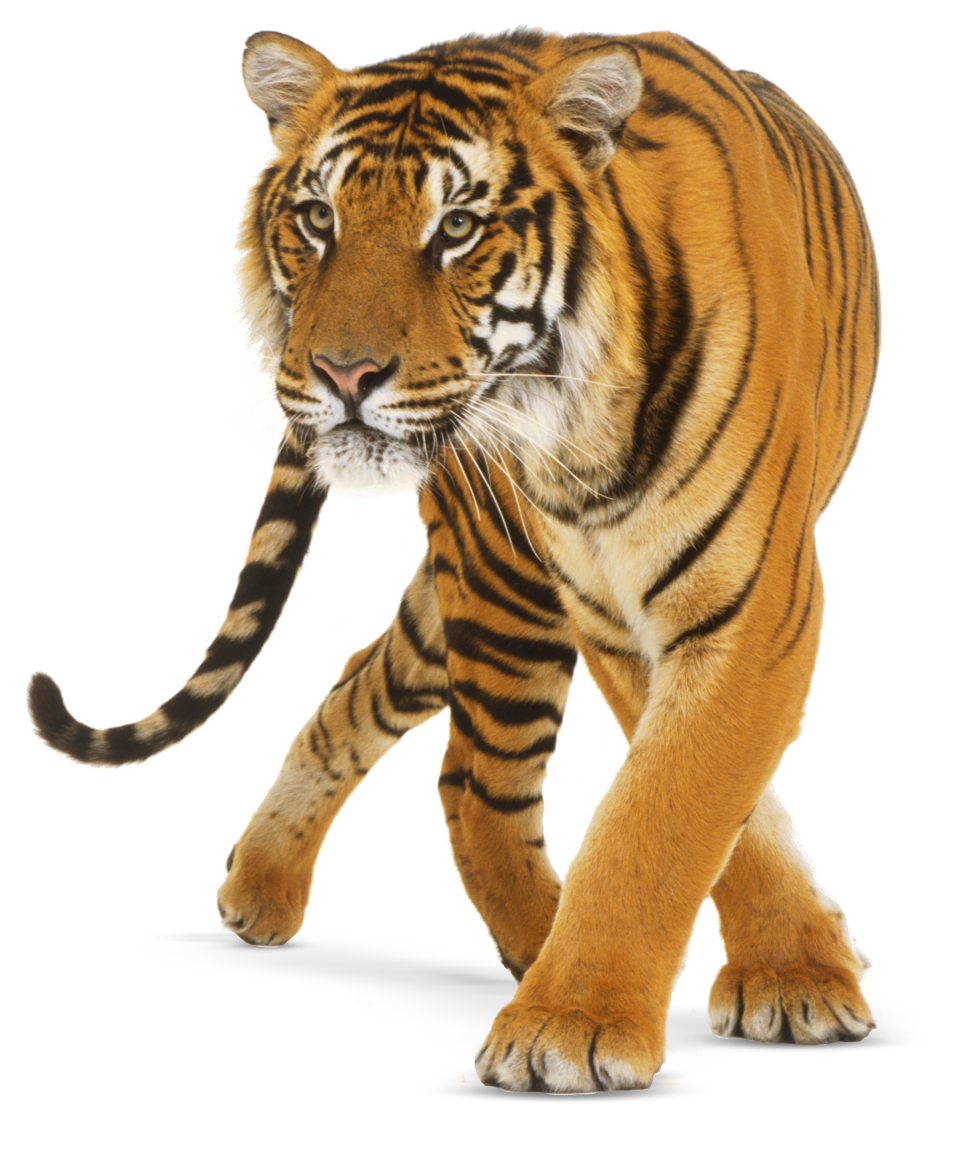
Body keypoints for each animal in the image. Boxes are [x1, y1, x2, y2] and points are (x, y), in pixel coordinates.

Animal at [25, 25, 883, 1093]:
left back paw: (261, 891)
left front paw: (770, 981)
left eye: (460, 227)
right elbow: (682, 804)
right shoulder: (611, 612)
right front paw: (582, 1019)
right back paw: (524, 949)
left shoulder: (750, 604)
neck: (581, 437)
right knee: (472, 780)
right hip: (504, 583)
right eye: (318, 218)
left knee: (357, 688)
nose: (342, 373)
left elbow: (675, 801)